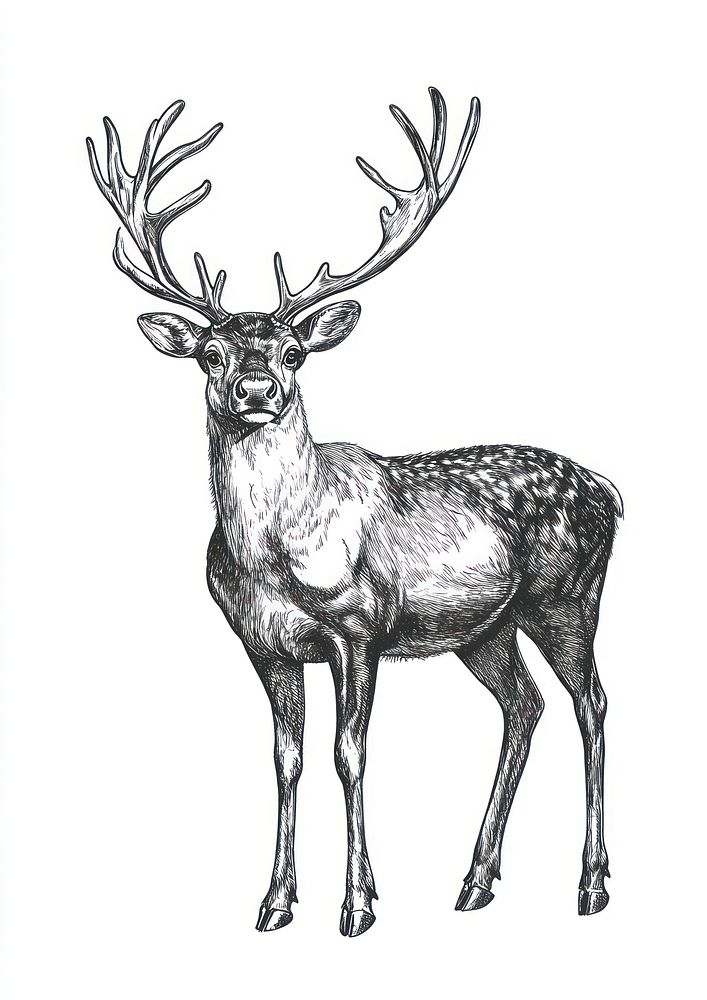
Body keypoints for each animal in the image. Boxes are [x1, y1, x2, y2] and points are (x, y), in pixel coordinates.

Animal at [87, 88, 621, 938]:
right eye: (210, 353)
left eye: (294, 353)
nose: (256, 391)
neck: (275, 552)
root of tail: (608, 488)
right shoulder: (265, 645)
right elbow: (287, 759)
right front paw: (275, 901)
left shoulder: (360, 628)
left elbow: (350, 754)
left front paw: (359, 903)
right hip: (485, 630)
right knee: (525, 706)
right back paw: (475, 880)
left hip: (567, 597)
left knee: (592, 703)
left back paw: (592, 884)